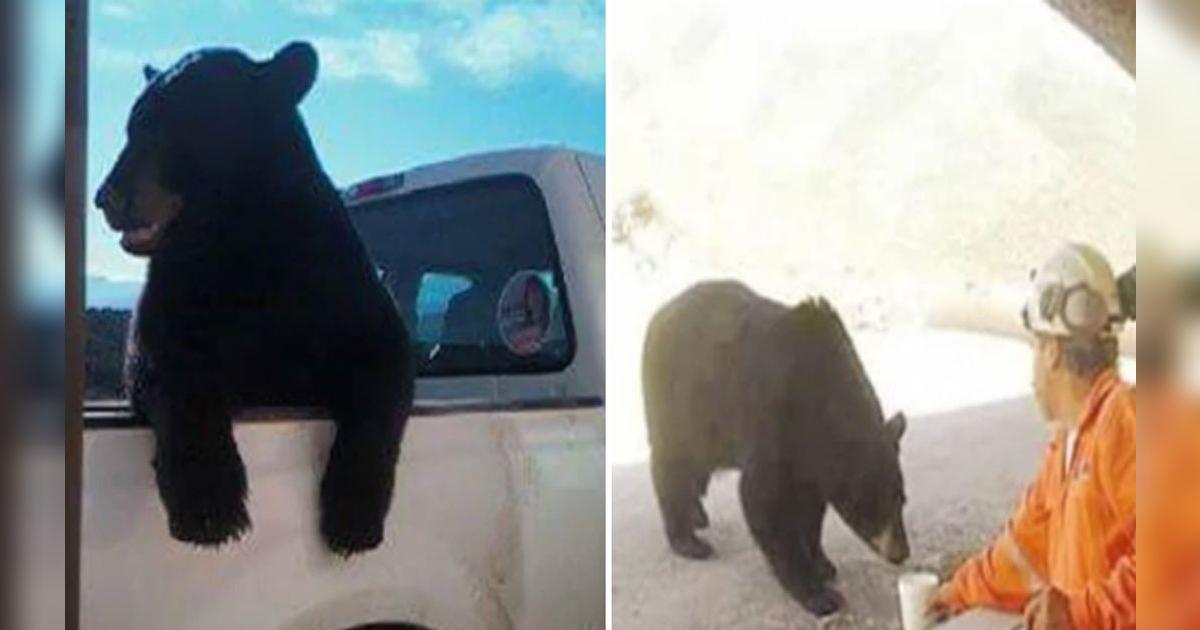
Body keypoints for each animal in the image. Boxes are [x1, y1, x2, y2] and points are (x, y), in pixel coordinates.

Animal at [93, 42, 415, 556]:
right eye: (131, 127)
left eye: (165, 128)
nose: (106, 196)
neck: (235, 236)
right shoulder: (178, 287)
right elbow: (166, 363)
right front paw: (210, 505)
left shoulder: (333, 282)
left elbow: (385, 368)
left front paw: (353, 518)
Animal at [641, 281, 909, 616]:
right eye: (874, 504)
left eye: (902, 499)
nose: (901, 552)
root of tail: (660, 312)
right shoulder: (774, 416)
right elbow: (763, 501)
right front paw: (819, 594)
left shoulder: (811, 460)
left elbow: (810, 509)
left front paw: (822, 563)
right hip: (679, 398)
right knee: (672, 462)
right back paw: (687, 540)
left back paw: (697, 513)